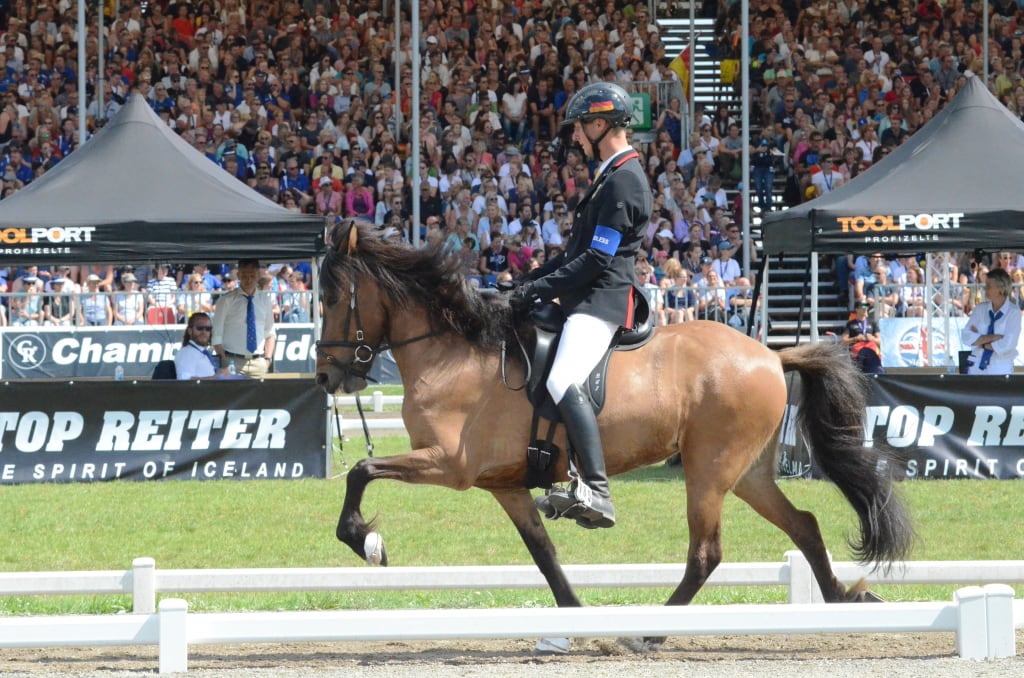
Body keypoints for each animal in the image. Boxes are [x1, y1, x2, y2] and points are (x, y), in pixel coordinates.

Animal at [315, 220, 913, 638]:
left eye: (330, 297)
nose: (325, 376)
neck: (451, 352)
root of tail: (770, 353)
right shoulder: (503, 484)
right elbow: (545, 556)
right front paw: (576, 619)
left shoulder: (450, 464)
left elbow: (361, 469)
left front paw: (366, 541)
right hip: (746, 473)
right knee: (804, 525)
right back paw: (845, 601)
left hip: (708, 471)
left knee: (706, 553)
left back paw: (649, 633)